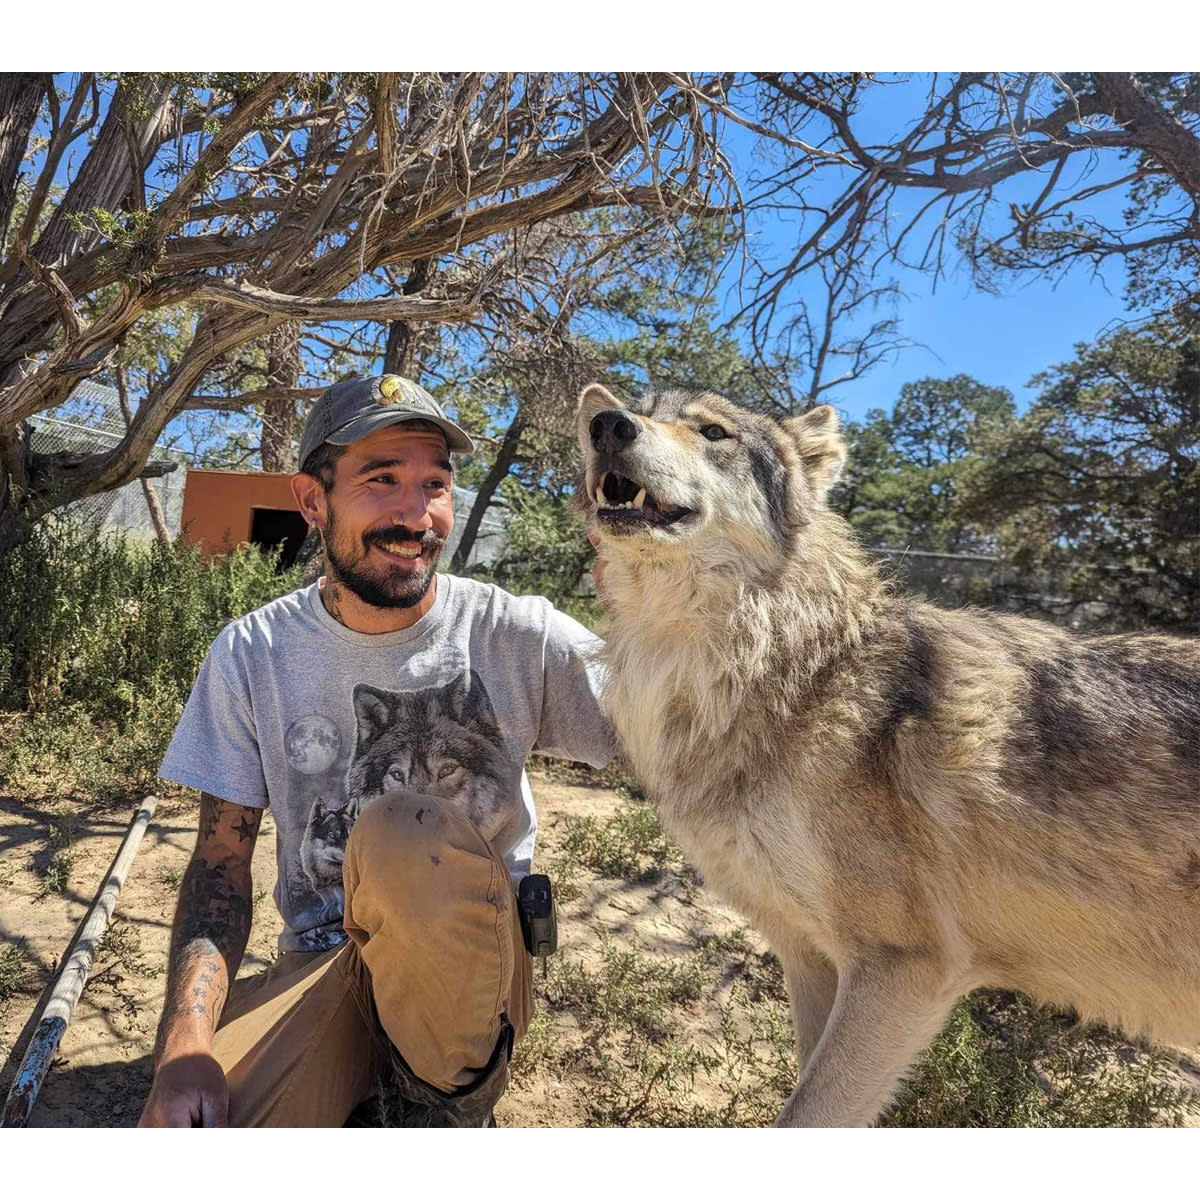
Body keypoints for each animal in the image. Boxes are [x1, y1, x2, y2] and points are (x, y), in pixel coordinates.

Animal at [576, 382, 1200, 1128]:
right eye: (640, 409)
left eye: (712, 431)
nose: (605, 424)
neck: (804, 669)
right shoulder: (810, 958)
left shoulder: (902, 968)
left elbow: (803, 1117)